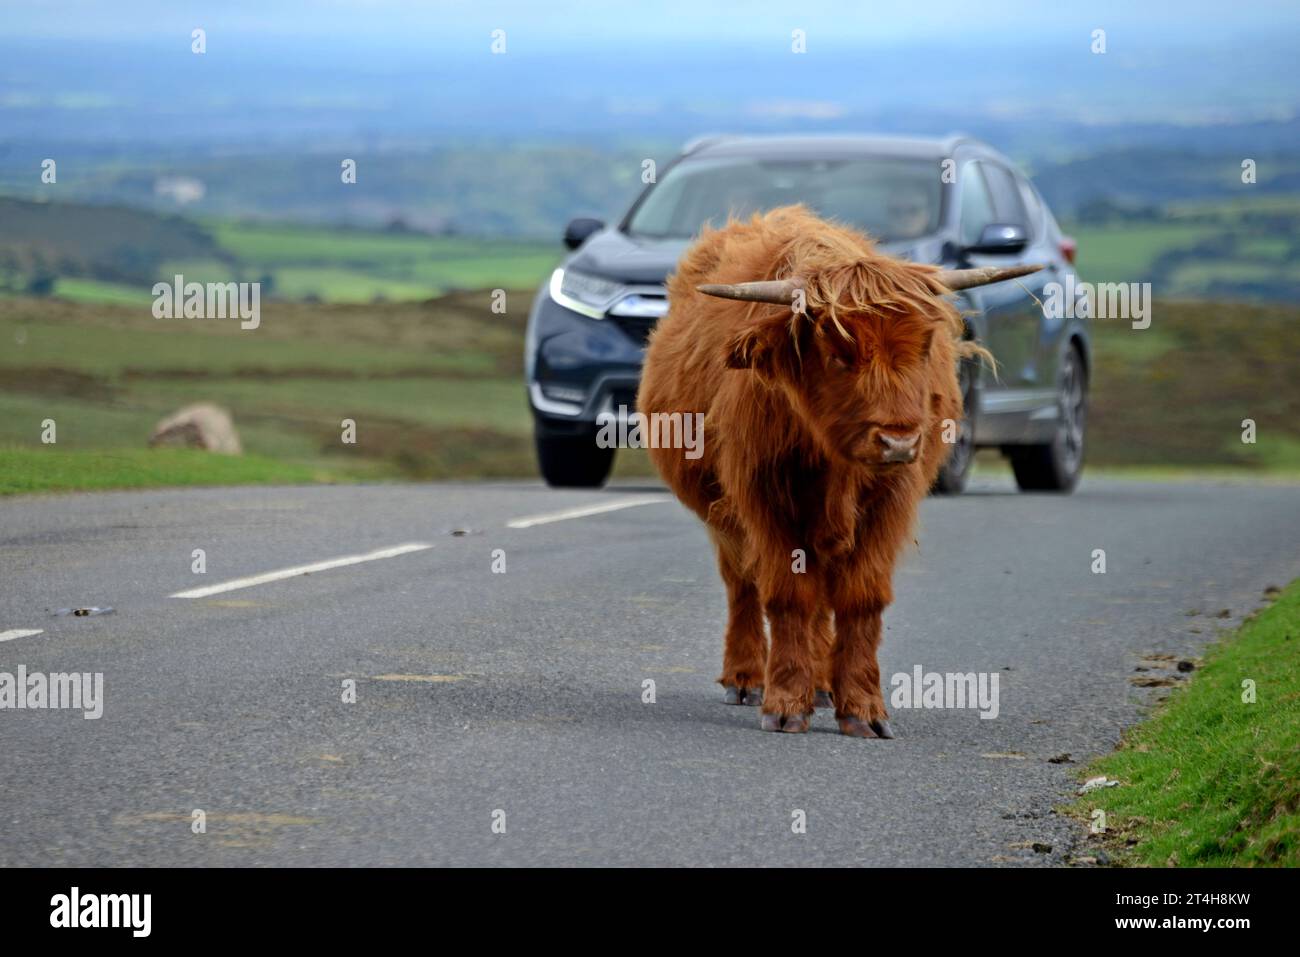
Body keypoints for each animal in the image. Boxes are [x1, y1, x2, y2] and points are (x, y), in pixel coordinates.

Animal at [638, 205, 1039, 737]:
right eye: (837, 354)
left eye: (922, 348)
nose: (899, 441)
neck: (835, 465)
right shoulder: (764, 500)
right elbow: (787, 595)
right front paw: (786, 701)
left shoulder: (889, 504)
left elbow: (860, 598)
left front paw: (863, 708)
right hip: (722, 514)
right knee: (742, 584)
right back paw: (746, 678)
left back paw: (824, 685)